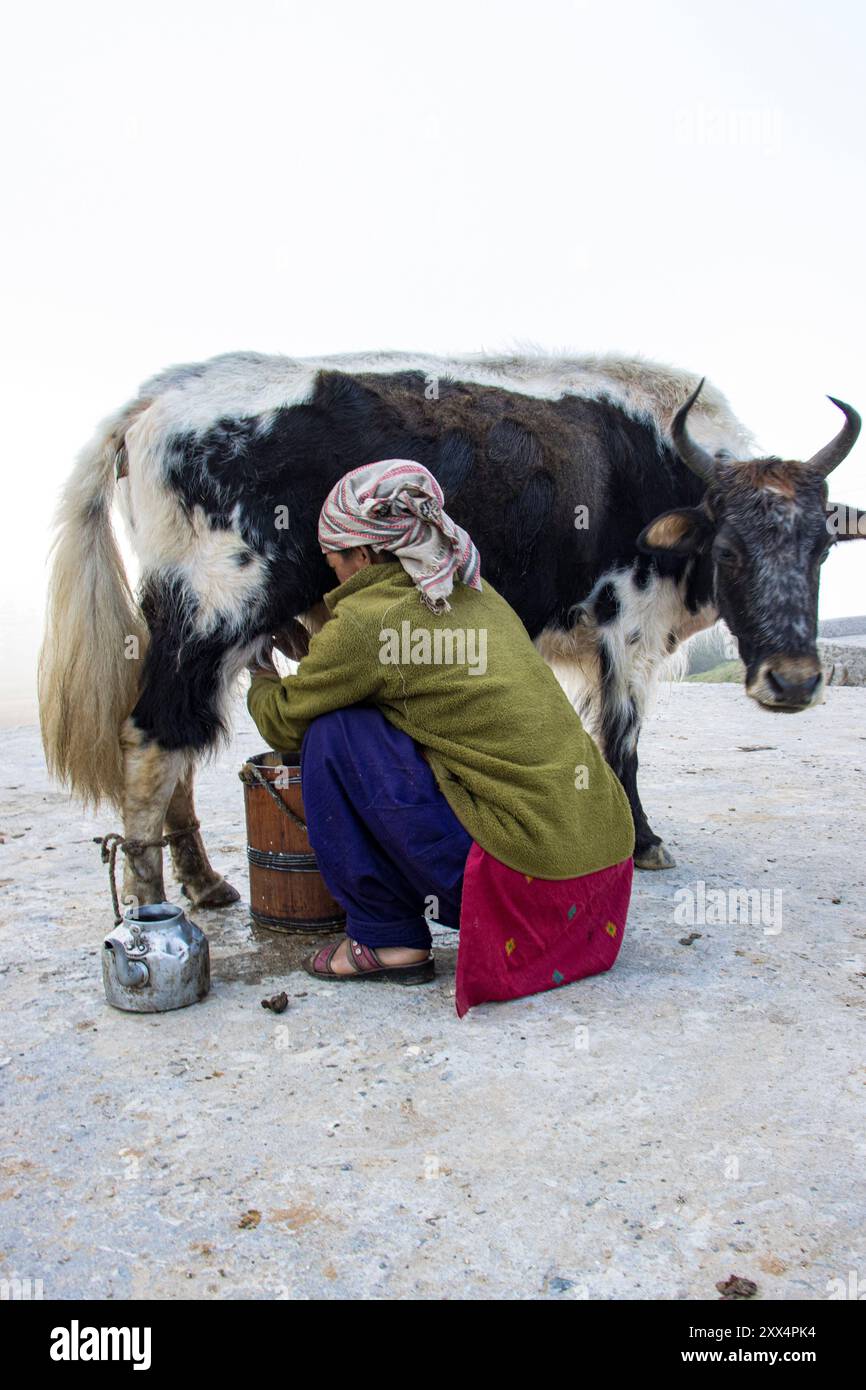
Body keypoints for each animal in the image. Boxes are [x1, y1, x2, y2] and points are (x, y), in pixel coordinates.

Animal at [38, 350, 864, 910]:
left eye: (820, 549)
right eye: (728, 549)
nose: (794, 682)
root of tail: (152, 401)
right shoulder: (627, 630)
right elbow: (622, 741)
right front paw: (645, 842)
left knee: (169, 737)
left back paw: (206, 885)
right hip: (214, 611)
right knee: (154, 735)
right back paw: (153, 904)